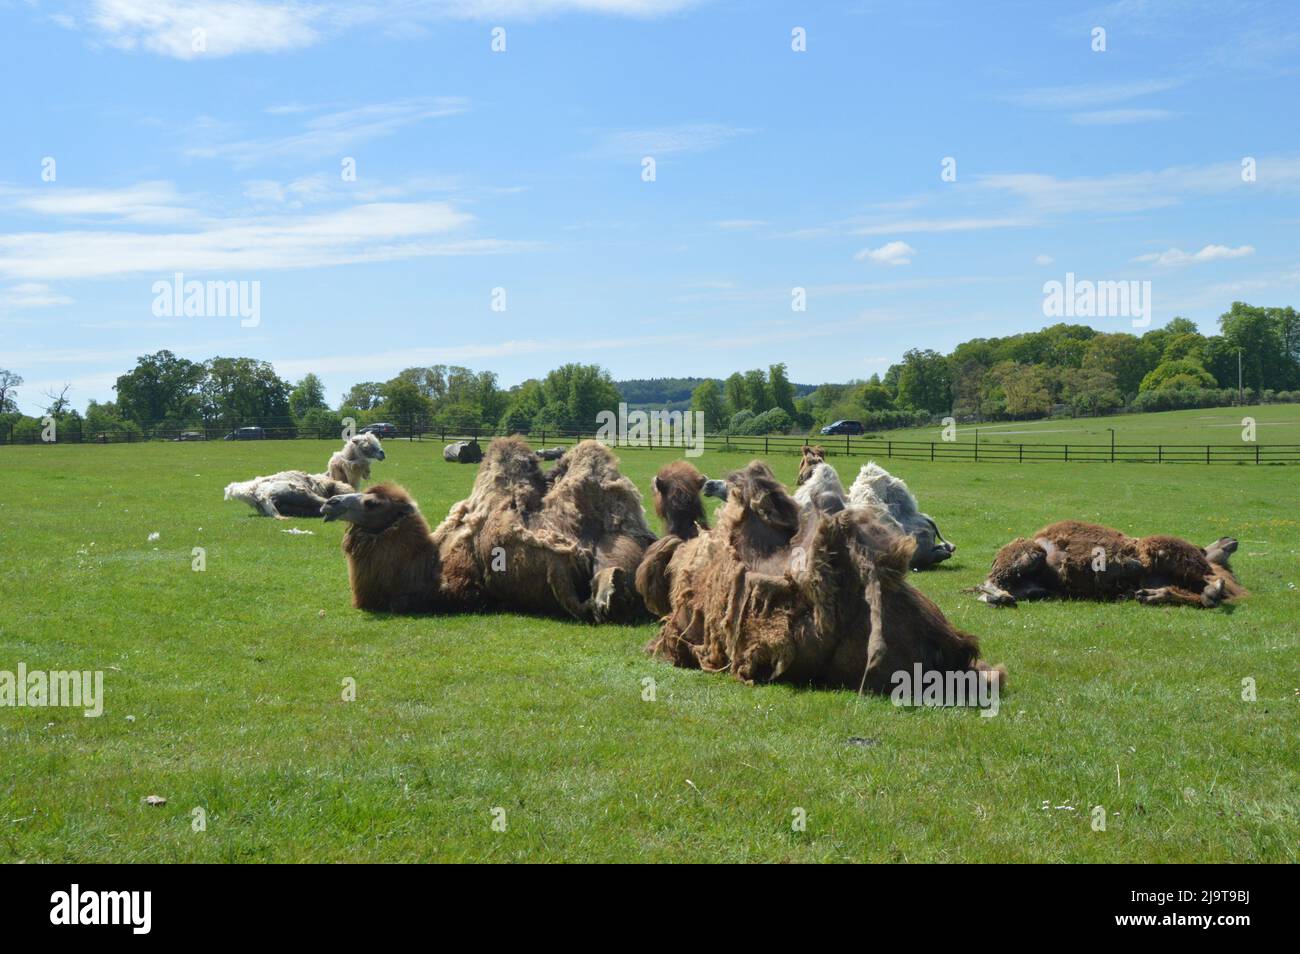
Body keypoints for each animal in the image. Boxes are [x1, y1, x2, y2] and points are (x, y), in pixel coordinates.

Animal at [322, 437, 657, 622]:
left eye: (372, 503)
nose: (330, 504)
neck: (426, 564)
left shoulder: (459, 585)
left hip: (615, 547)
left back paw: (609, 595)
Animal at [976, 521, 1244, 608]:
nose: (1230, 540)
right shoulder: (1160, 549)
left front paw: (1149, 595)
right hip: (1030, 554)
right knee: (988, 582)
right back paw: (1000, 596)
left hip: (1034, 584)